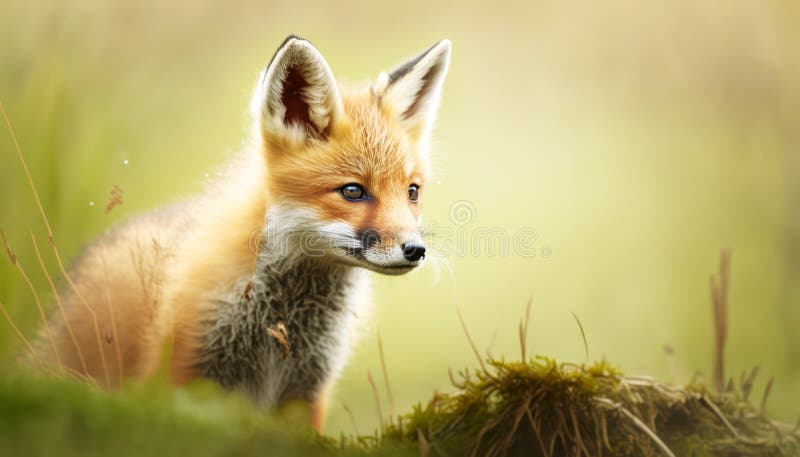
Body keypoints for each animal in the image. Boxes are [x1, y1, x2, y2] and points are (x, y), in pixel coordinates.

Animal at [34, 35, 451, 431]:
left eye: (412, 192)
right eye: (352, 191)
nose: (415, 250)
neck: (280, 323)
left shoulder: (305, 394)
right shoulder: (186, 370)